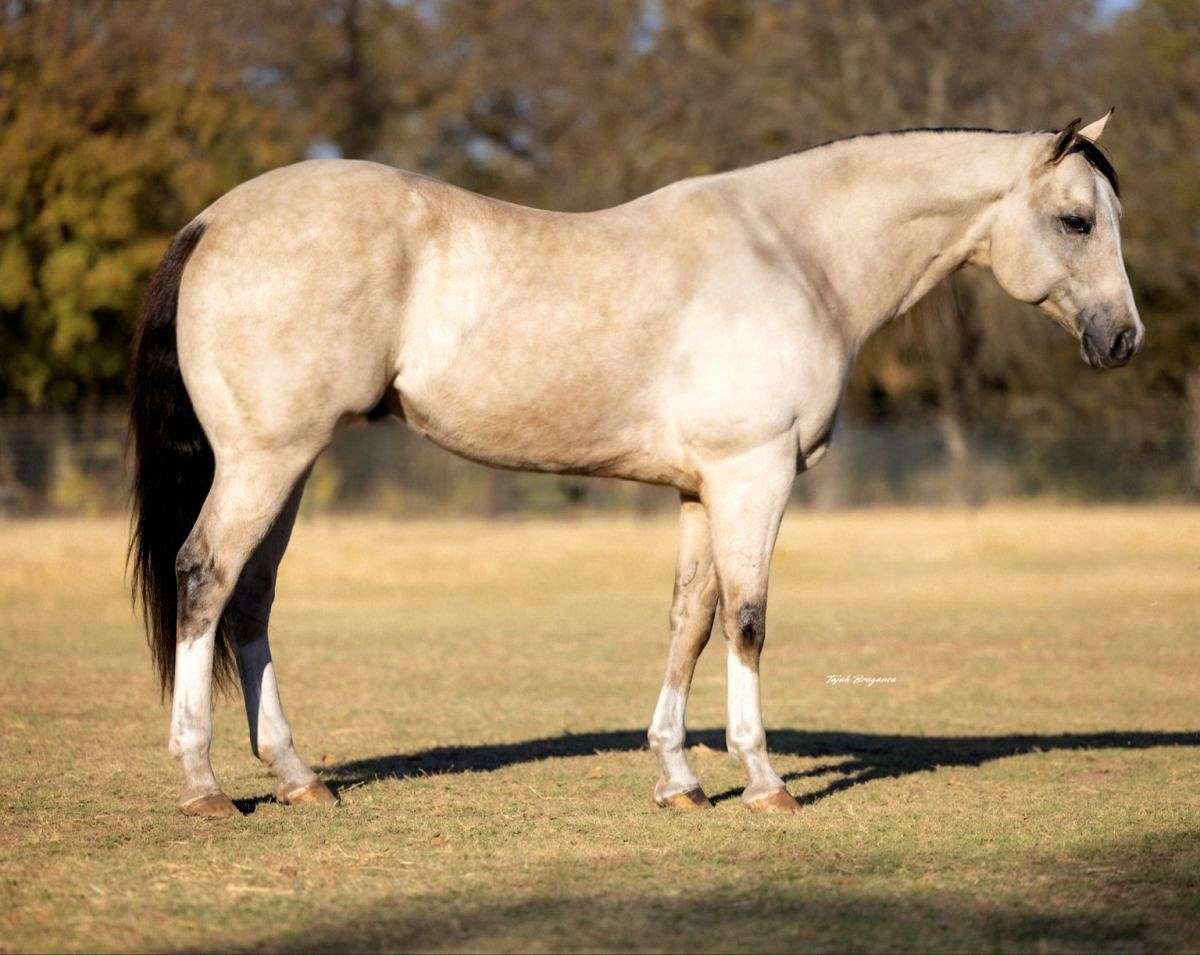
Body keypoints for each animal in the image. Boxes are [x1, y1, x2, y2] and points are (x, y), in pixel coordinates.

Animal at [129, 113, 1141, 817]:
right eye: (1075, 220)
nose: (1123, 338)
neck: (796, 254)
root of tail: (213, 220)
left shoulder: (702, 490)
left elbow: (688, 623)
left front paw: (679, 779)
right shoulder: (753, 477)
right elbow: (748, 622)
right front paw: (764, 779)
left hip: (289, 465)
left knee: (251, 600)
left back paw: (298, 776)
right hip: (265, 460)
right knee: (205, 576)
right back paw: (202, 782)